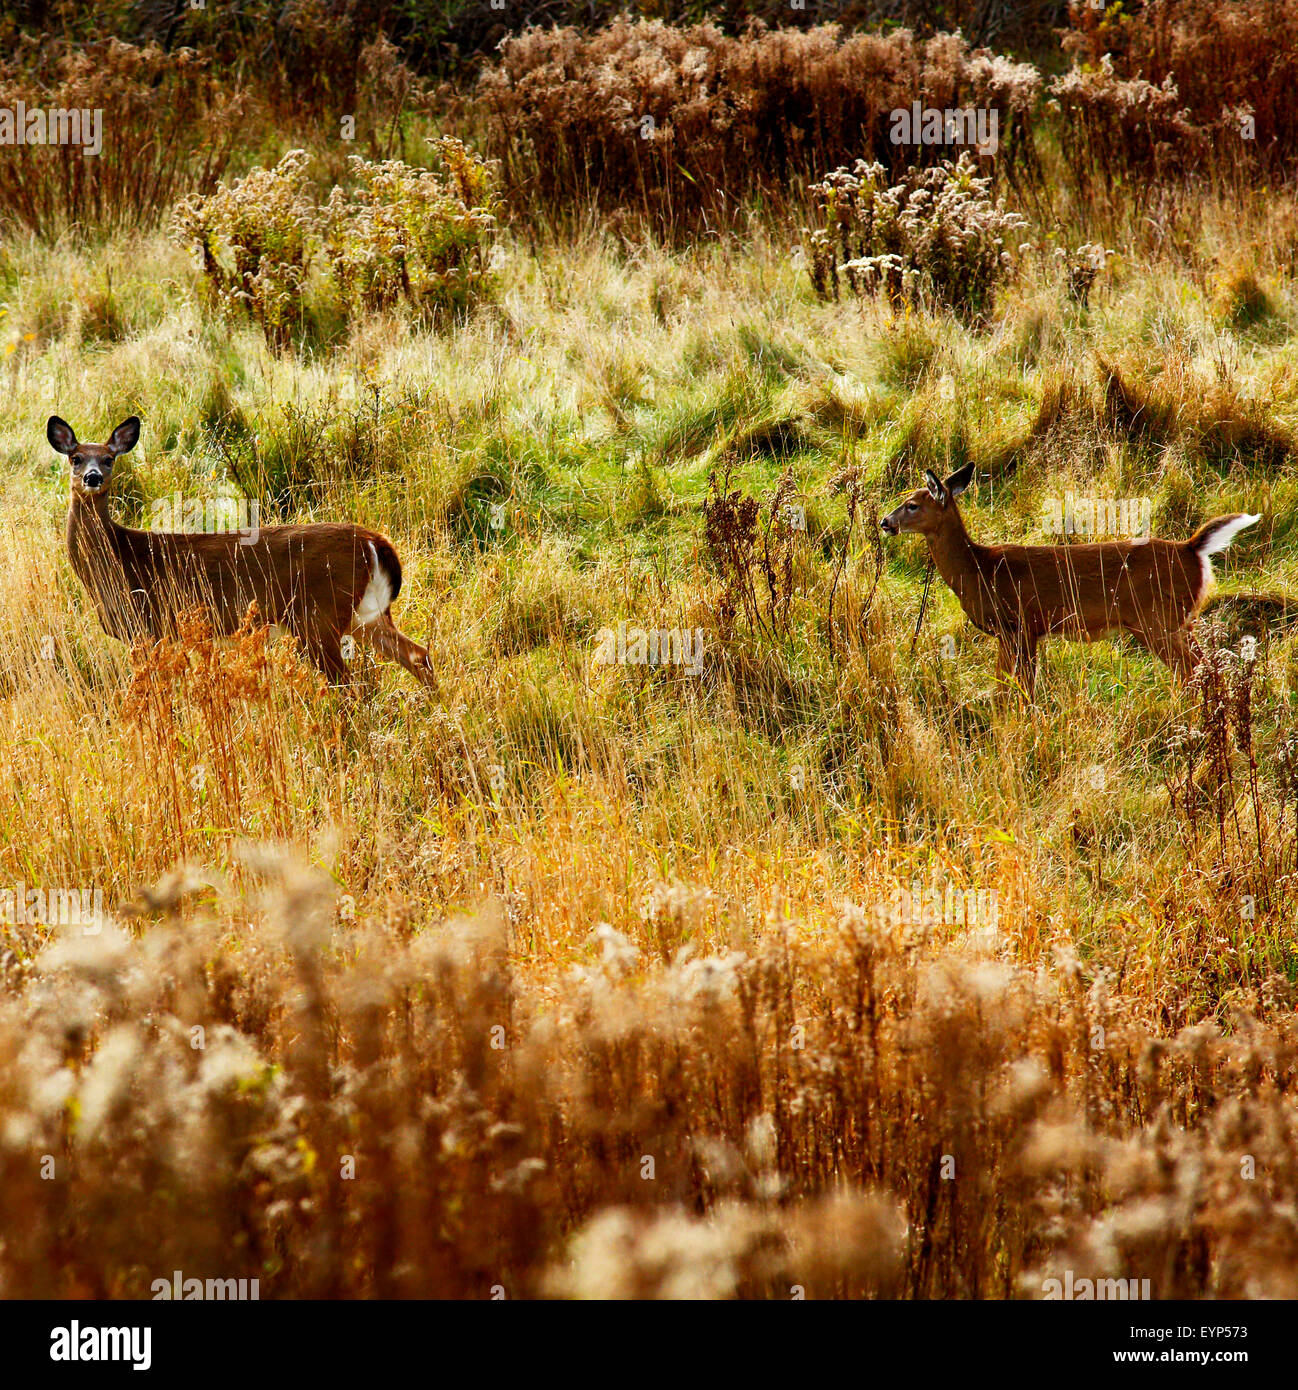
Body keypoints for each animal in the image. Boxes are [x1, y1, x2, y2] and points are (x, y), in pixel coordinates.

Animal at [50, 414, 437, 687]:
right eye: (75, 458)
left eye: (109, 459)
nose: (93, 477)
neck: (118, 558)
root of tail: (375, 541)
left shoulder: (147, 627)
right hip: (364, 614)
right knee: (418, 654)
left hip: (318, 615)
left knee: (354, 685)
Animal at [880, 461, 1260, 699]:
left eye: (912, 504)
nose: (885, 522)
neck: (979, 570)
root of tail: (1191, 548)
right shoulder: (1014, 633)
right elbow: (1006, 685)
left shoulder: (1021, 624)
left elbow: (1019, 688)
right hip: (1178, 620)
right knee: (1207, 669)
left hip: (1157, 618)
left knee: (1197, 671)